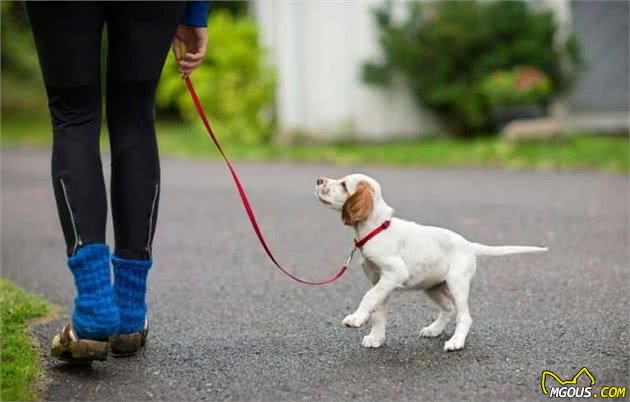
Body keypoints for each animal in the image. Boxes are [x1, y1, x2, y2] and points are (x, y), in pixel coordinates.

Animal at [316, 173, 548, 352]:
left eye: (344, 185)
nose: (318, 180)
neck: (376, 229)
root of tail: (469, 245)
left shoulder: (394, 273)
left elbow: (368, 297)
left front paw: (355, 318)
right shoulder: (379, 281)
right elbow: (378, 311)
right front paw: (376, 338)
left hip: (456, 283)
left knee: (464, 316)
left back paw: (456, 342)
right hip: (432, 286)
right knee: (448, 309)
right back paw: (434, 329)